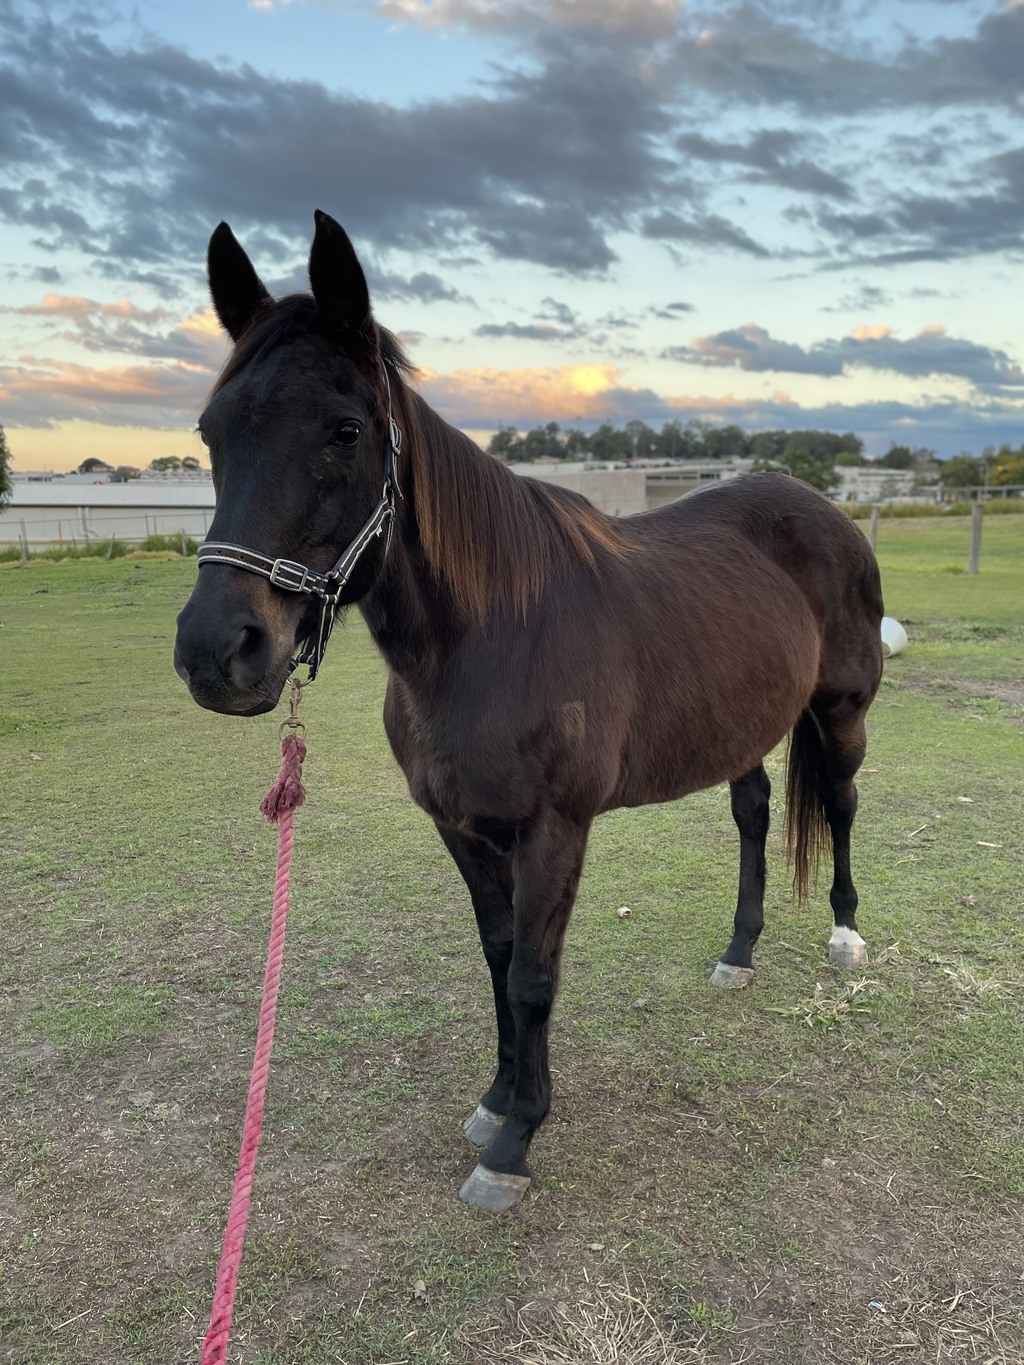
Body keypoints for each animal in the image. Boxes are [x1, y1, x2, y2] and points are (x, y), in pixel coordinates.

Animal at [174, 210, 885, 1212]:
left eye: (346, 430)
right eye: (211, 433)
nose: (217, 652)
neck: (491, 639)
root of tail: (824, 509)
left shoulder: (555, 828)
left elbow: (534, 978)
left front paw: (516, 1142)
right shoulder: (464, 828)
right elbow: (497, 956)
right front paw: (496, 1099)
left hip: (843, 710)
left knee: (846, 807)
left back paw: (846, 934)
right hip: (740, 721)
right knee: (753, 812)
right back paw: (739, 951)